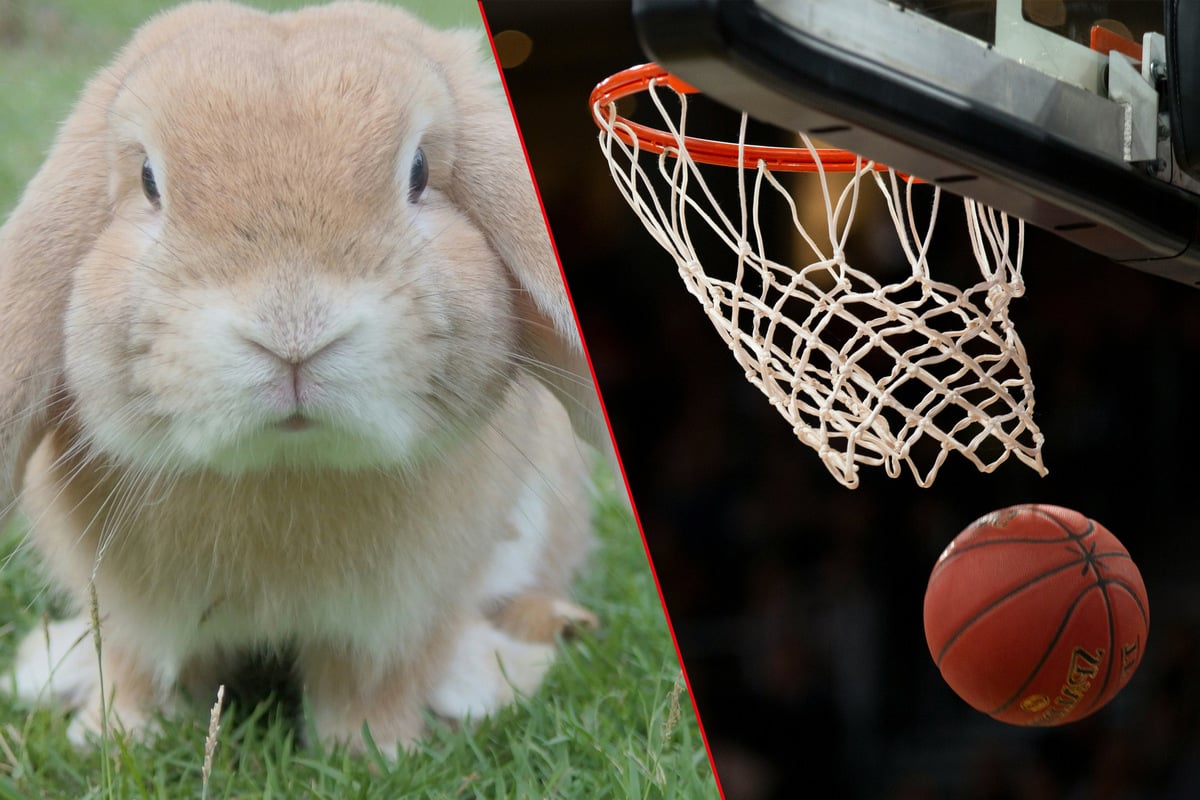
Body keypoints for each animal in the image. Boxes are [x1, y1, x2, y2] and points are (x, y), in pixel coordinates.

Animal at [0, 0, 612, 754]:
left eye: (418, 172)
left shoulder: (394, 620)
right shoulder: (134, 618)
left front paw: (375, 753)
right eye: (148, 180)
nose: (293, 333)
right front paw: (114, 737)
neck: (285, 466)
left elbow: (370, 684)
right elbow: (140, 671)